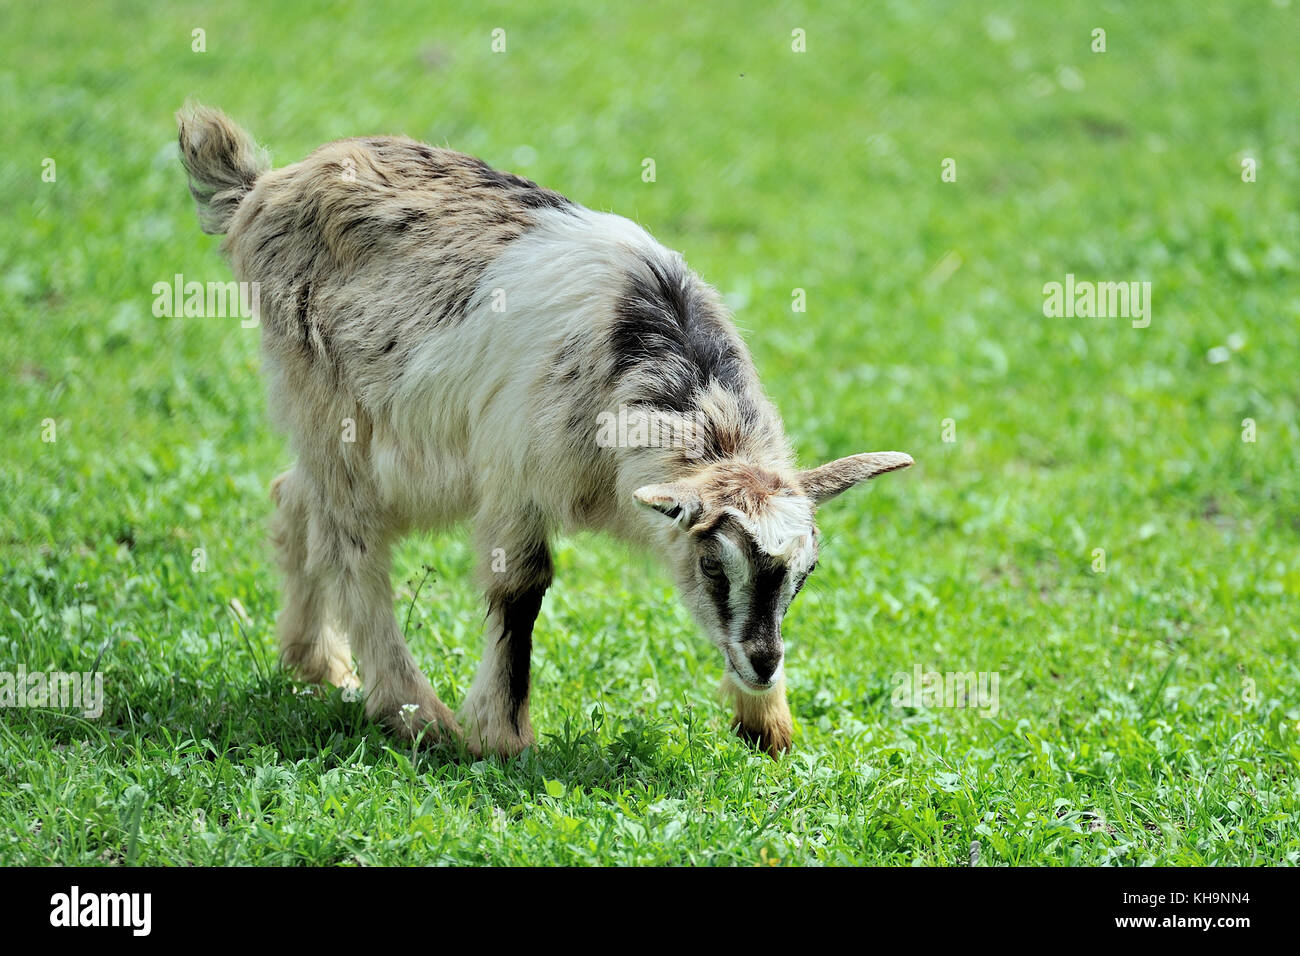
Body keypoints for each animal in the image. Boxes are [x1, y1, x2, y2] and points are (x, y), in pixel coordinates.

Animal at [176, 104, 913, 758]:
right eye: (713, 563)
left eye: (807, 570)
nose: (763, 664)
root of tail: (262, 189)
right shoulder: (517, 476)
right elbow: (521, 587)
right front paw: (501, 734)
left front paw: (767, 725)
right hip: (334, 407)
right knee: (350, 540)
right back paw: (415, 714)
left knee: (294, 496)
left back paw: (316, 663)